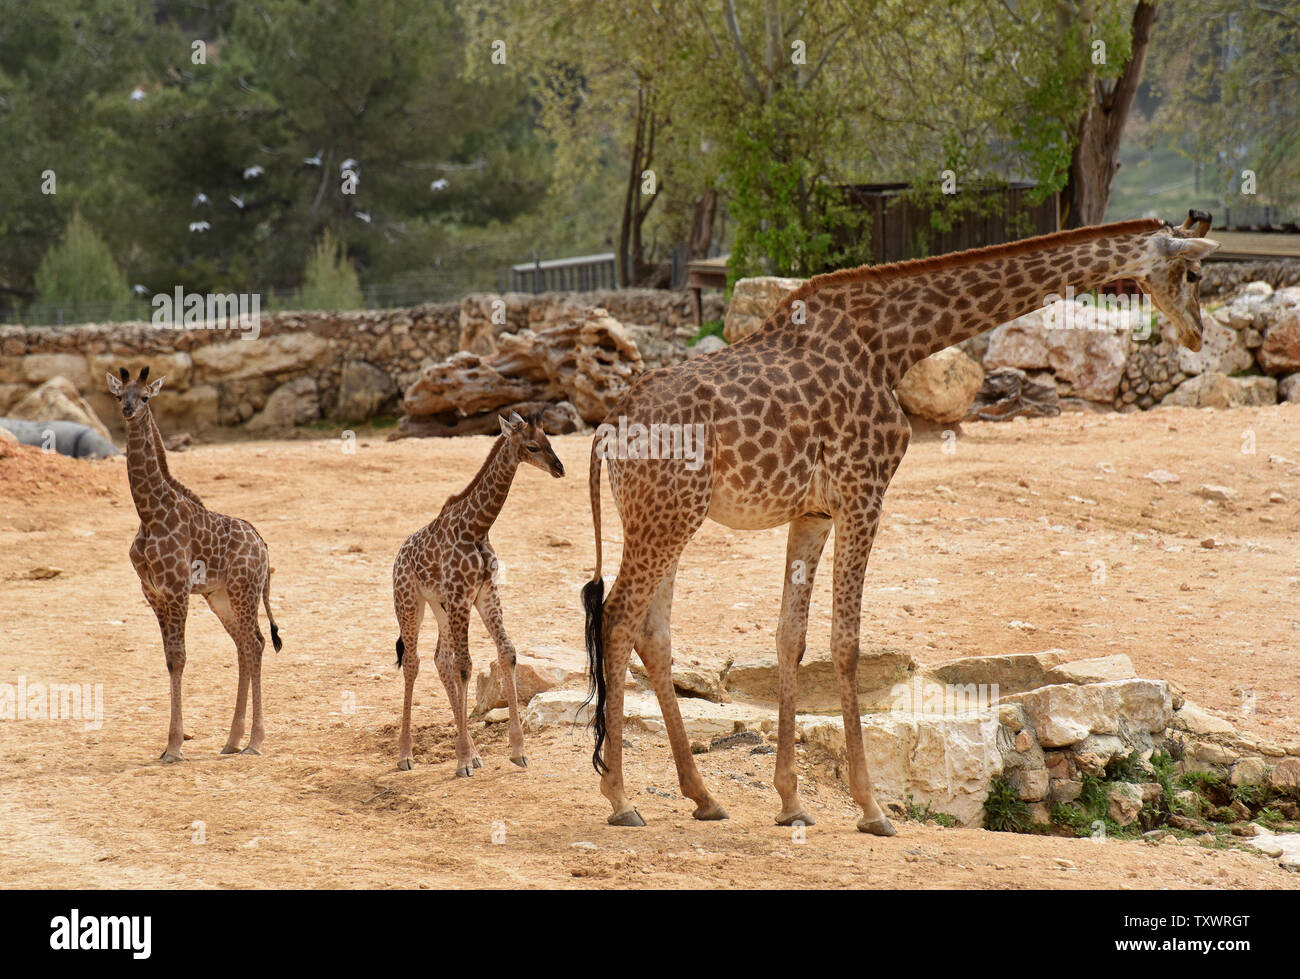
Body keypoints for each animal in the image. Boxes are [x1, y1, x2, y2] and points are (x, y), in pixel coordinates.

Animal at [106, 366, 282, 762]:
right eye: (119, 395)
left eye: (145, 397)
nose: (127, 411)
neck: (150, 514)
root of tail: (263, 546)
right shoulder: (152, 592)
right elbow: (170, 659)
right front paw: (168, 746)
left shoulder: (176, 589)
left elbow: (180, 657)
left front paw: (174, 747)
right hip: (220, 597)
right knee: (248, 645)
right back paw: (232, 741)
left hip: (244, 591)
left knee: (254, 644)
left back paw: (255, 742)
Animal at [392, 410, 565, 776]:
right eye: (532, 446)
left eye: (549, 440)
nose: (559, 468)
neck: (477, 527)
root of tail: (398, 555)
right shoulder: (461, 596)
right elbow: (465, 666)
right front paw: (461, 761)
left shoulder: (485, 593)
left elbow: (507, 653)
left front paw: (517, 750)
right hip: (410, 602)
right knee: (414, 662)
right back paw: (406, 755)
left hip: (440, 607)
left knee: (439, 659)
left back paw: (472, 752)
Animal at [582, 212, 1219, 832]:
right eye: (1192, 275)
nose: (1197, 335)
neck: (892, 343)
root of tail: (608, 425)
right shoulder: (864, 492)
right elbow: (845, 643)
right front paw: (871, 807)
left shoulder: (813, 512)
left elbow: (792, 638)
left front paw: (791, 801)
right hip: (667, 514)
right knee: (616, 618)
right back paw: (619, 799)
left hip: (667, 517)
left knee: (652, 633)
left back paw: (703, 796)